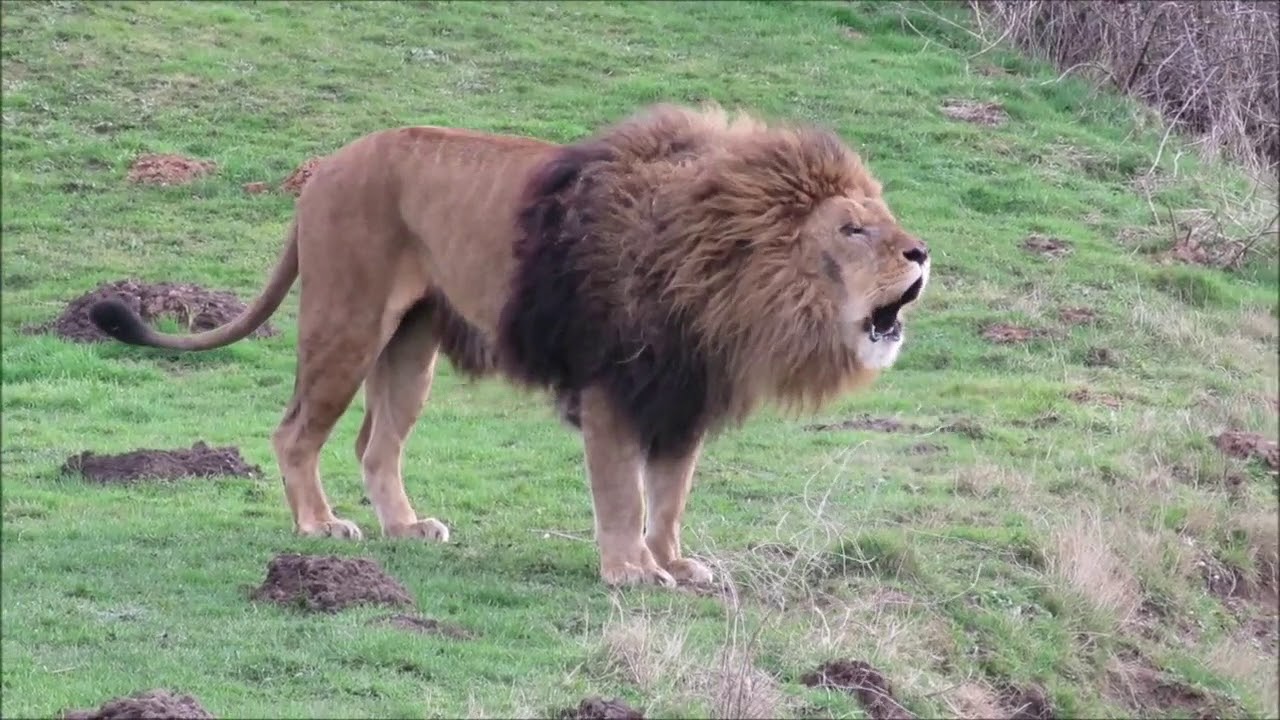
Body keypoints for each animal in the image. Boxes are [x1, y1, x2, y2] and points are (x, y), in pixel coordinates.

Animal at [88, 103, 930, 588]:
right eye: (854, 229)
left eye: (883, 217)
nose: (921, 252)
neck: (735, 272)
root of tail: (325, 169)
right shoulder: (612, 386)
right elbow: (623, 495)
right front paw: (629, 572)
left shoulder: (681, 392)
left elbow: (670, 497)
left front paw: (674, 563)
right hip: (347, 321)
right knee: (296, 431)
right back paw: (321, 527)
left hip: (411, 347)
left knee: (375, 445)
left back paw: (406, 529)